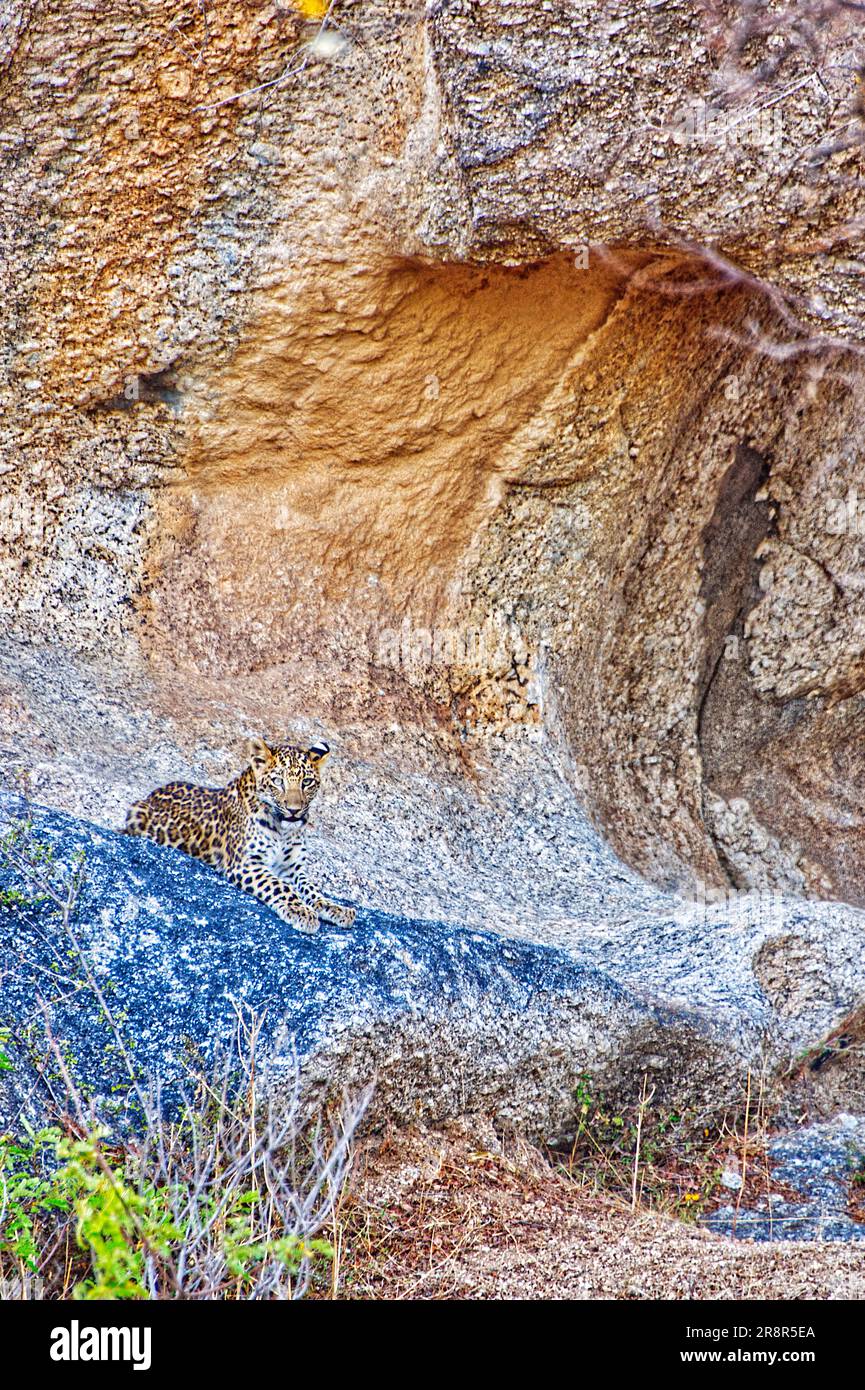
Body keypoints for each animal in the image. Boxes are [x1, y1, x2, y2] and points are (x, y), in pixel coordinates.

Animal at [123, 737, 356, 934]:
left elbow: (312, 889)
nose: (294, 810)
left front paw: (336, 908)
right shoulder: (246, 863)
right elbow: (280, 886)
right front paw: (301, 911)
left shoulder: (292, 868)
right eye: (278, 781)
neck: (283, 830)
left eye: (307, 782)